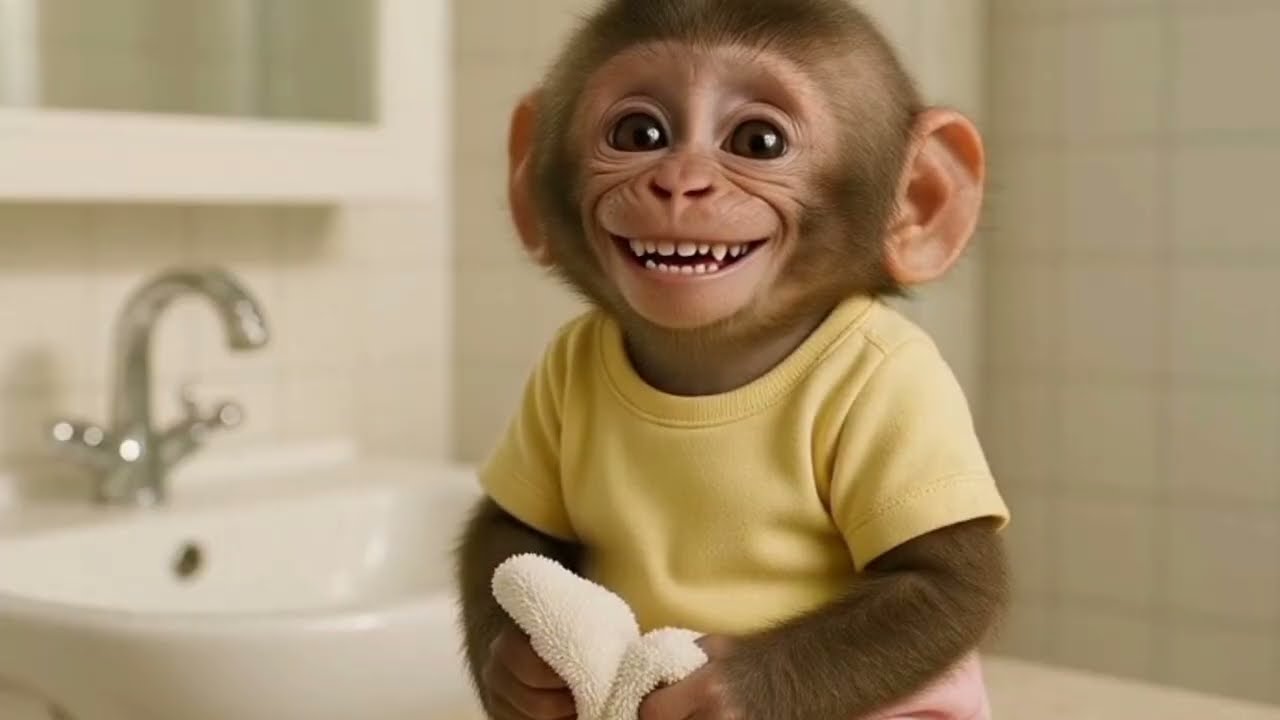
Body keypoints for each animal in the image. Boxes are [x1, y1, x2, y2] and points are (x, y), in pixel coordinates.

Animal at [455, 1, 1011, 719]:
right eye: (640, 133)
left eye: (758, 143)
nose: (678, 185)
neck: (715, 377)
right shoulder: (555, 368)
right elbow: (511, 525)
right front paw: (518, 670)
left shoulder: (900, 383)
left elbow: (944, 578)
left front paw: (722, 690)